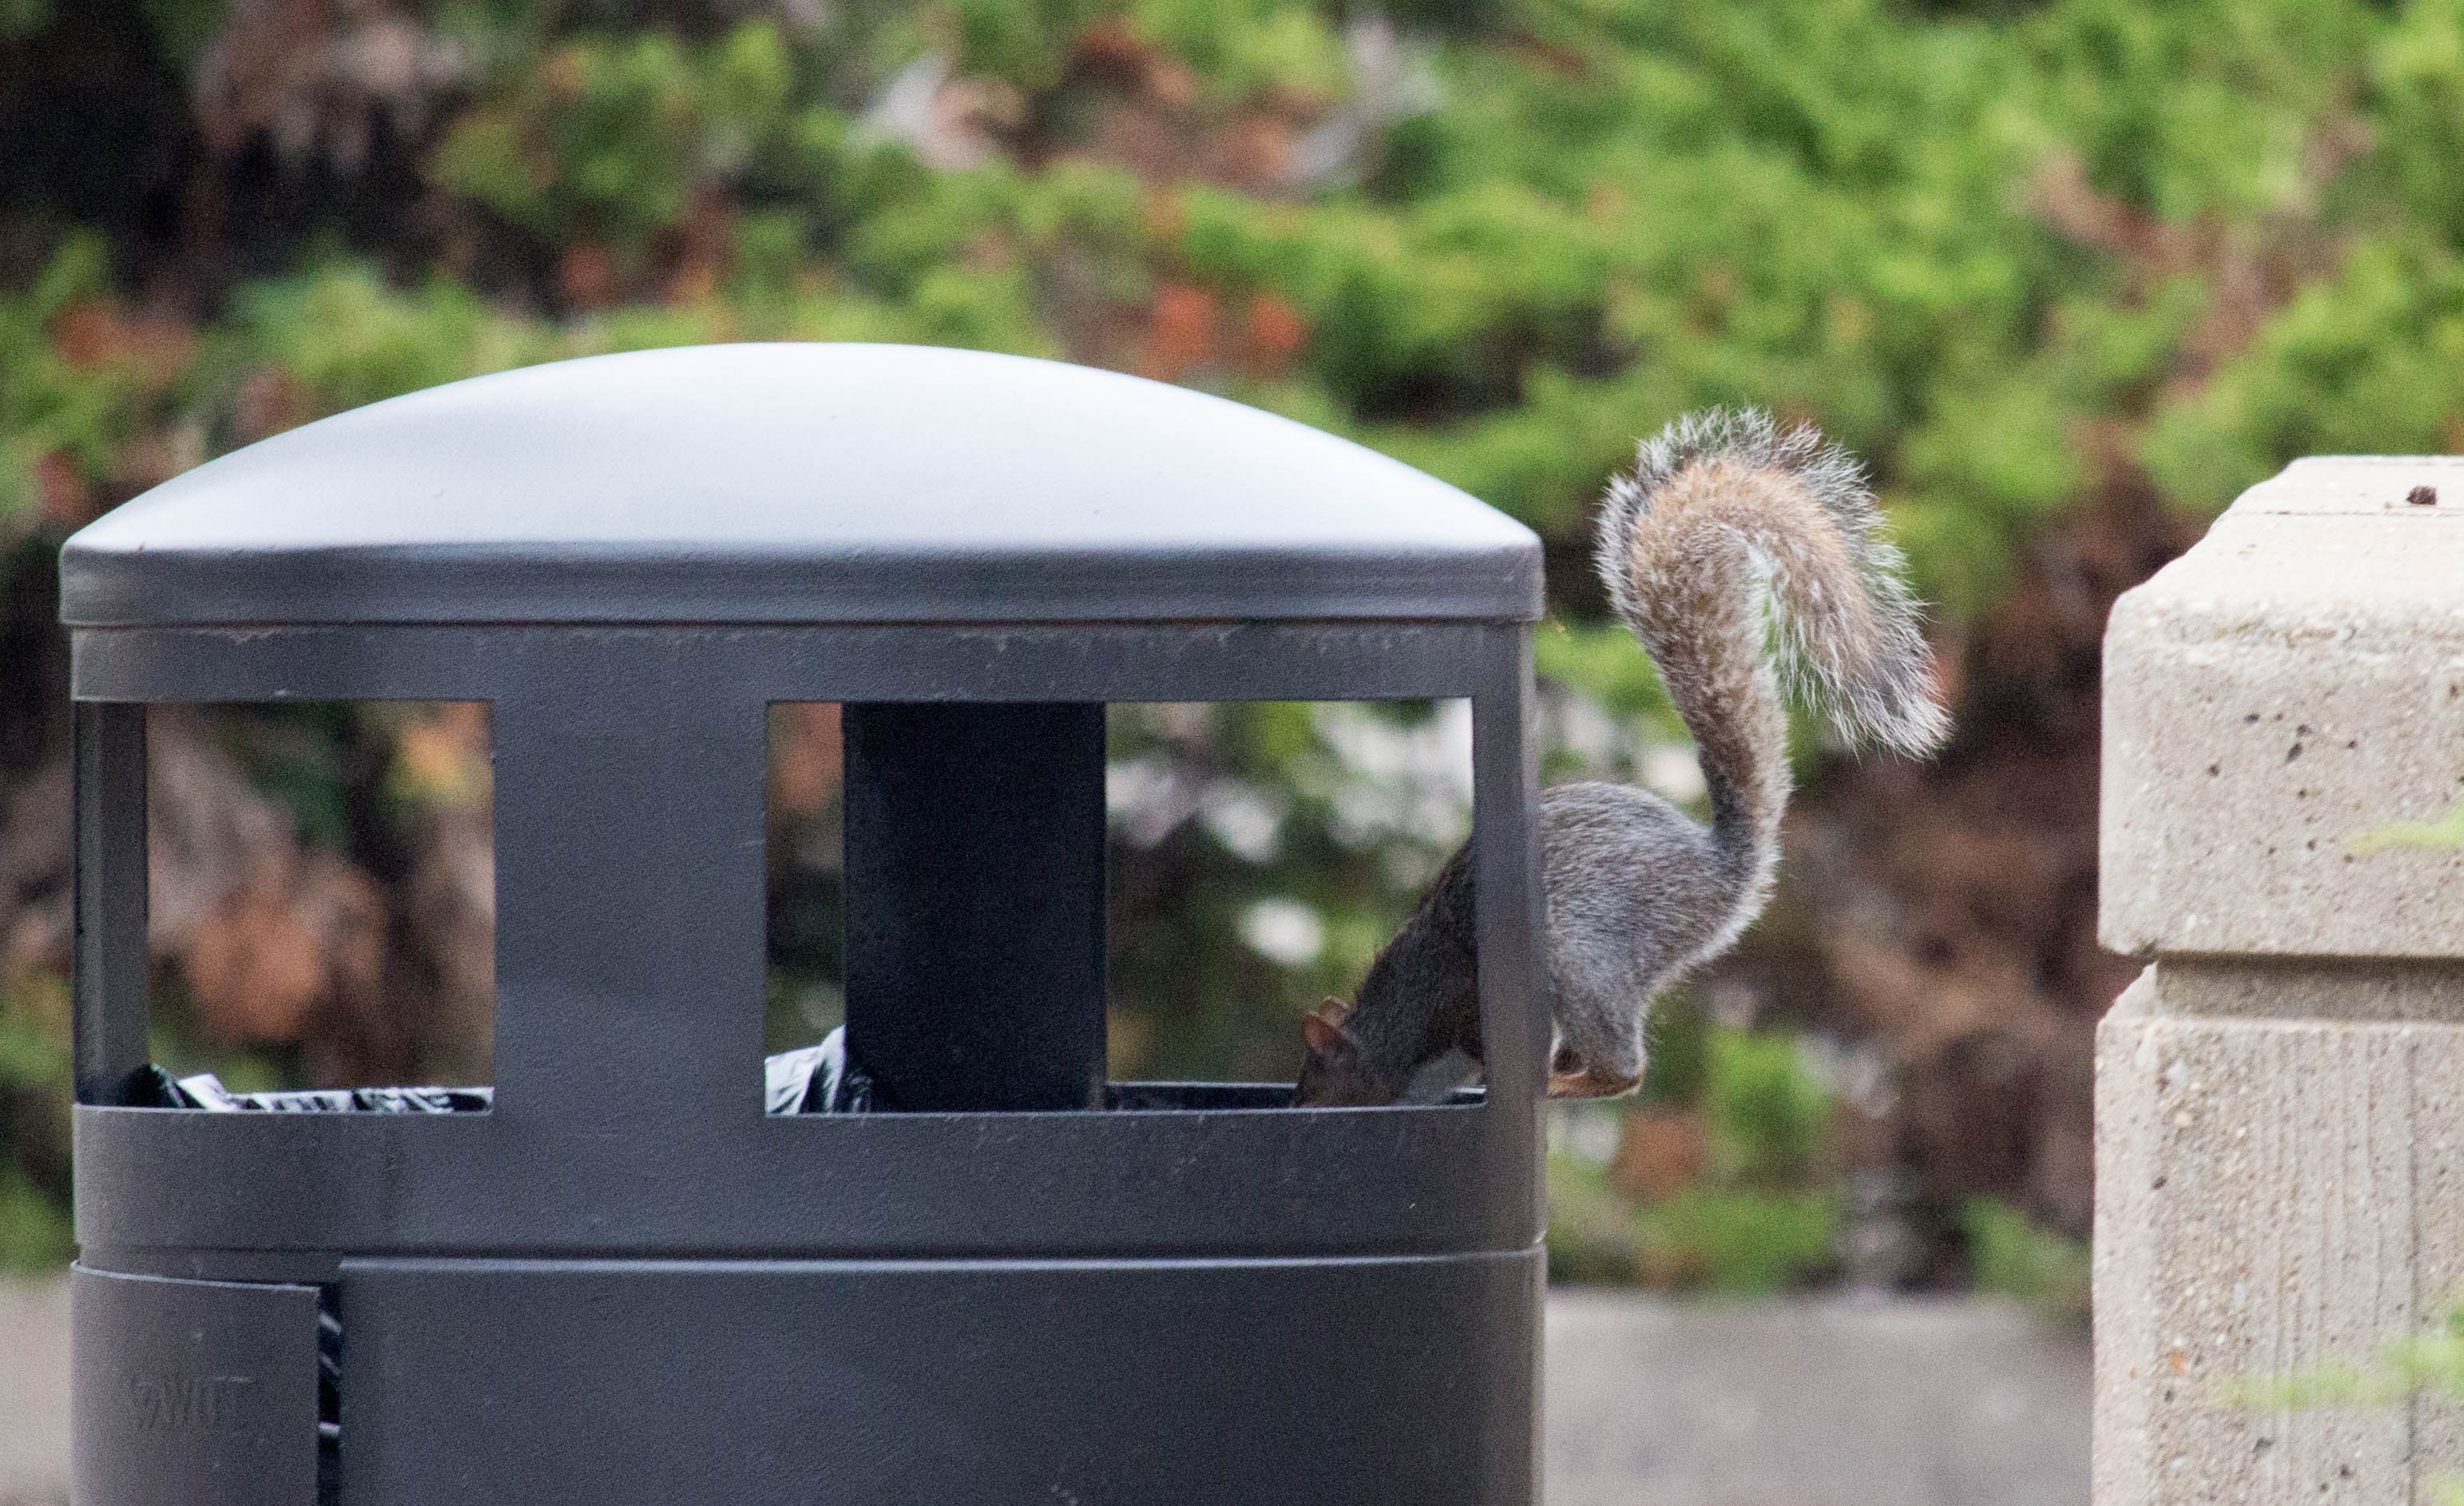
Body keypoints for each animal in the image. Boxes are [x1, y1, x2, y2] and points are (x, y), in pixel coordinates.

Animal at [1294, 408, 1950, 1107]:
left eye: (1315, 1082)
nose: (1295, 1104)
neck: (1402, 1010)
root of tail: (1721, 872)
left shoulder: (1462, 1004)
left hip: (1584, 955)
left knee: (1624, 1071)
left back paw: (1566, 1082)